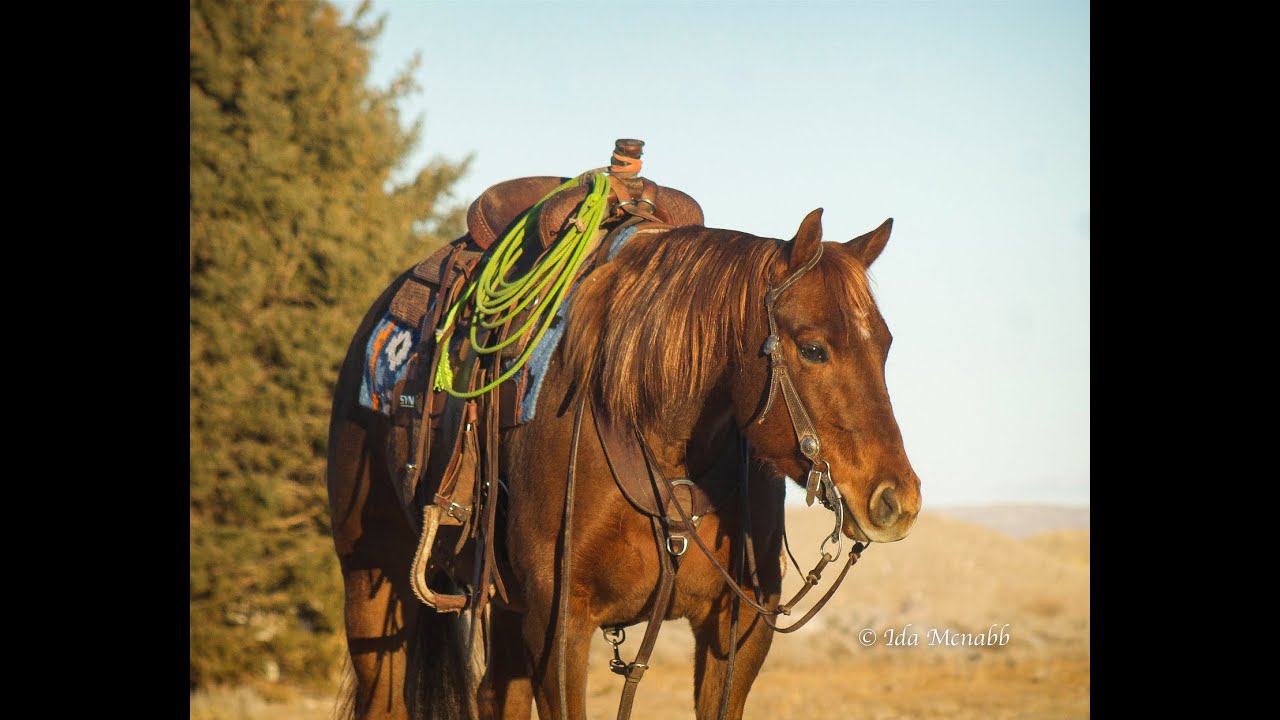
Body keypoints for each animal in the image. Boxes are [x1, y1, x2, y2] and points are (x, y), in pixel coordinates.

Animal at [326, 205, 922, 720]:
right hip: (372, 581)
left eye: (886, 345)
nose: (897, 500)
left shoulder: (738, 630)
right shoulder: (559, 626)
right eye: (814, 348)